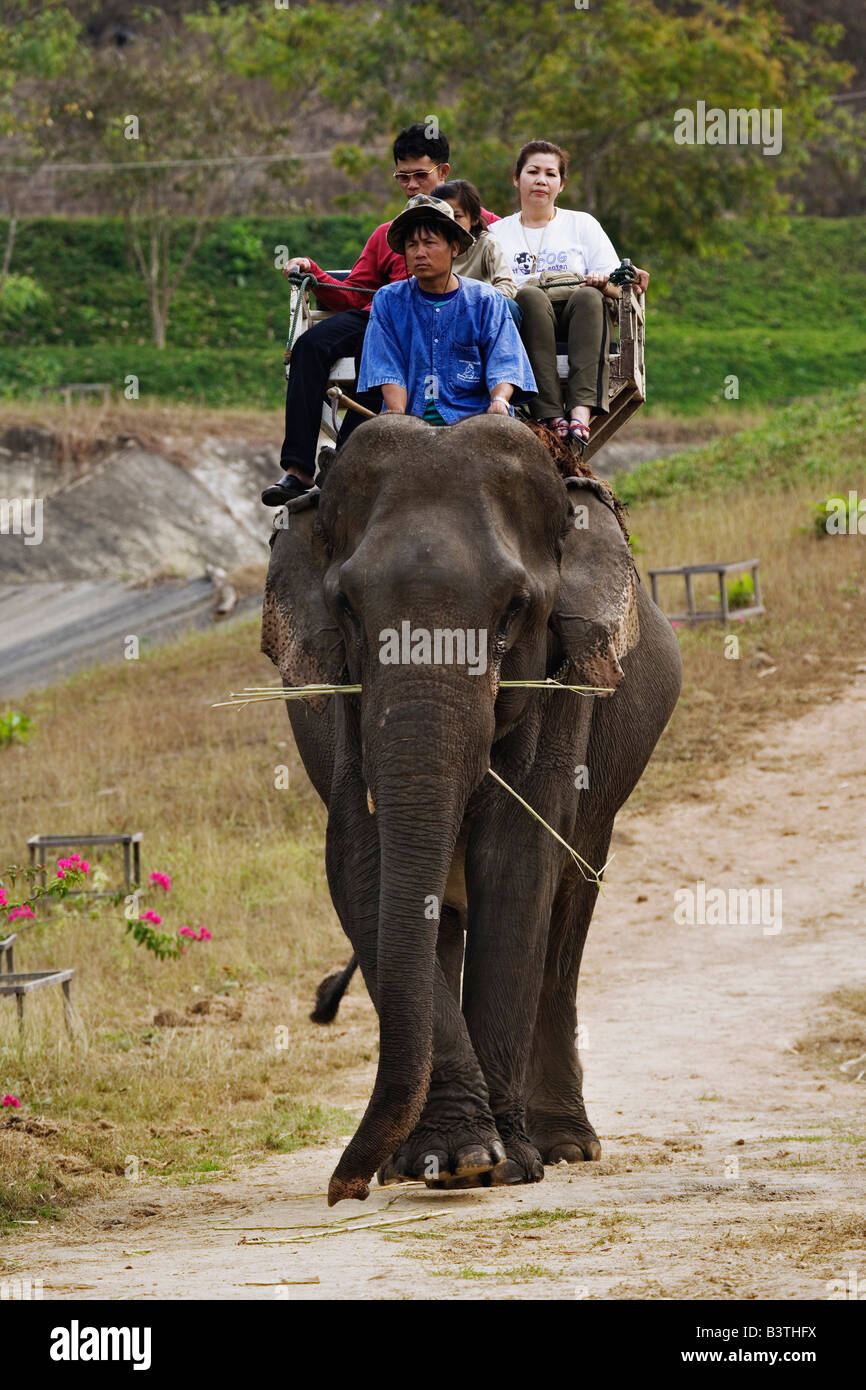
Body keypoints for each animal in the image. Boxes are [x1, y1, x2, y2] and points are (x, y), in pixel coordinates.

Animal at [261, 414, 681, 1206]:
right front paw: (452, 1160)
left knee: (567, 915)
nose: (341, 1188)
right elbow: (359, 866)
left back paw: (567, 1145)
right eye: (346, 606)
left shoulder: (562, 685)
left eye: (515, 609)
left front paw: (501, 1163)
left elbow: (515, 864)